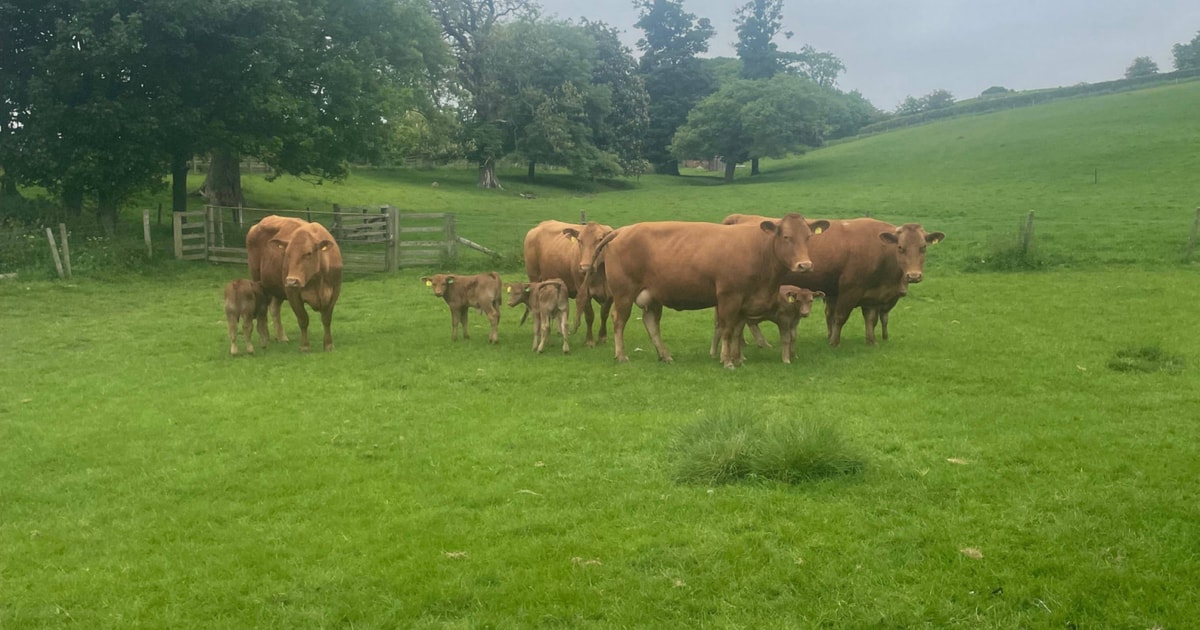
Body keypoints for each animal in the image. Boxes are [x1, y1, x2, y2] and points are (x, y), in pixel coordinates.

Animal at [246, 215, 343, 352]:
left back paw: (281, 337)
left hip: (278, 287)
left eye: (308, 253)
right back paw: (265, 337)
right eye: (287, 254)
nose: (292, 280)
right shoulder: (292, 293)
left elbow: (326, 319)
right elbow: (303, 319)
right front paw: (305, 346)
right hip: (261, 282)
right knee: (263, 312)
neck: (317, 280)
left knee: (274, 308)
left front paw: (328, 345)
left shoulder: (335, 291)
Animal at [589, 214, 830, 368]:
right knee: (619, 320)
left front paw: (738, 358)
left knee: (651, 323)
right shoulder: (729, 297)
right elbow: (727, 329)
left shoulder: (745, 302)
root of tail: (623, 230)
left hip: (652, 295)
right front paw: (727, 360)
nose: (805, 265)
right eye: (786, 237)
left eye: (808, 237)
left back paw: (665, 355)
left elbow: (738, 330)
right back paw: (621, 355)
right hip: (624, 293)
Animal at [723, 215, 944, 346]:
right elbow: (839, 317)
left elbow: (870, 320)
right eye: (900, 248)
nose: (913, 276)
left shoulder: (871, 295)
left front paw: (871, 341)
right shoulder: (850, 289)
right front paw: (834, 342)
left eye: (923, 247)